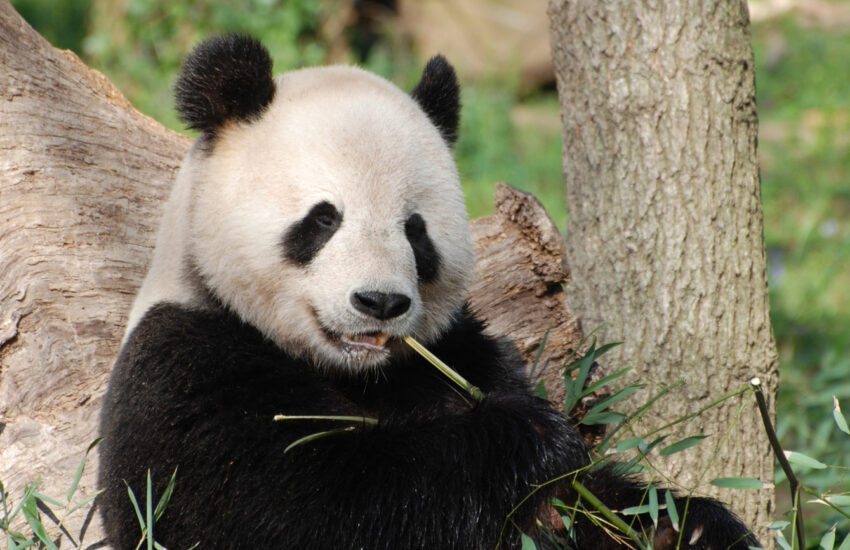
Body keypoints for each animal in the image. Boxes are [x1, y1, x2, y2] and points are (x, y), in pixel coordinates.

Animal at [98, 35, 760, 550]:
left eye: (414, 230)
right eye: (323, 219)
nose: (380, 303)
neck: (358, 373)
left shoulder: (462, 353)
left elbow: (587, 501)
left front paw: (686, 526)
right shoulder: (187, 369)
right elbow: (299, 507)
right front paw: (528, 435)